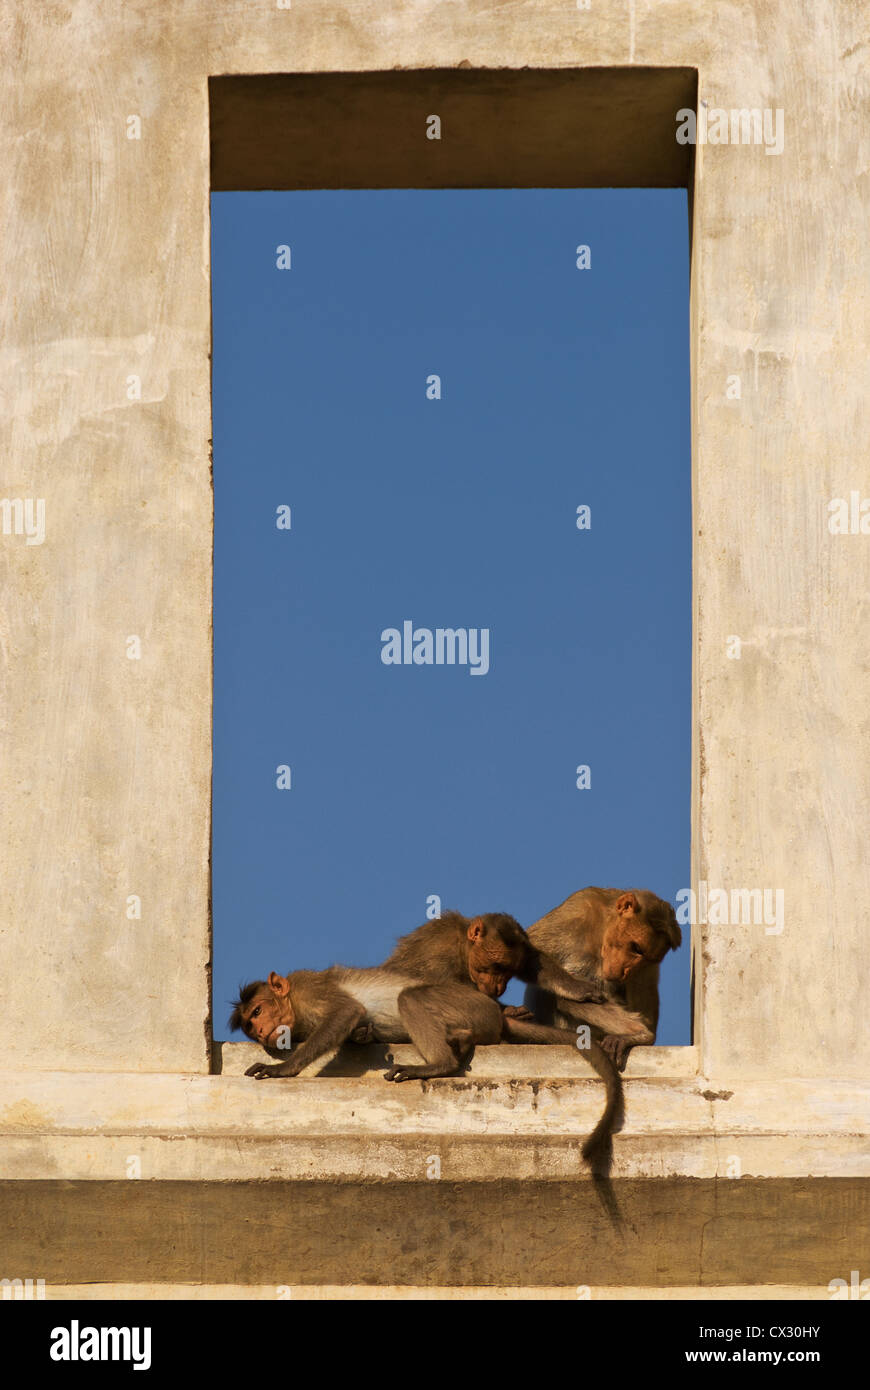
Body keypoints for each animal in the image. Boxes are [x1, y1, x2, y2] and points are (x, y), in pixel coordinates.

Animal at [524, 887, 682, 1072]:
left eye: (648, 959)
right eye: (636, 948)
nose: (626, 971)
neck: (600, 936)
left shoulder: (647, 969)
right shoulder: (578, 908)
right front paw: (576, 986)